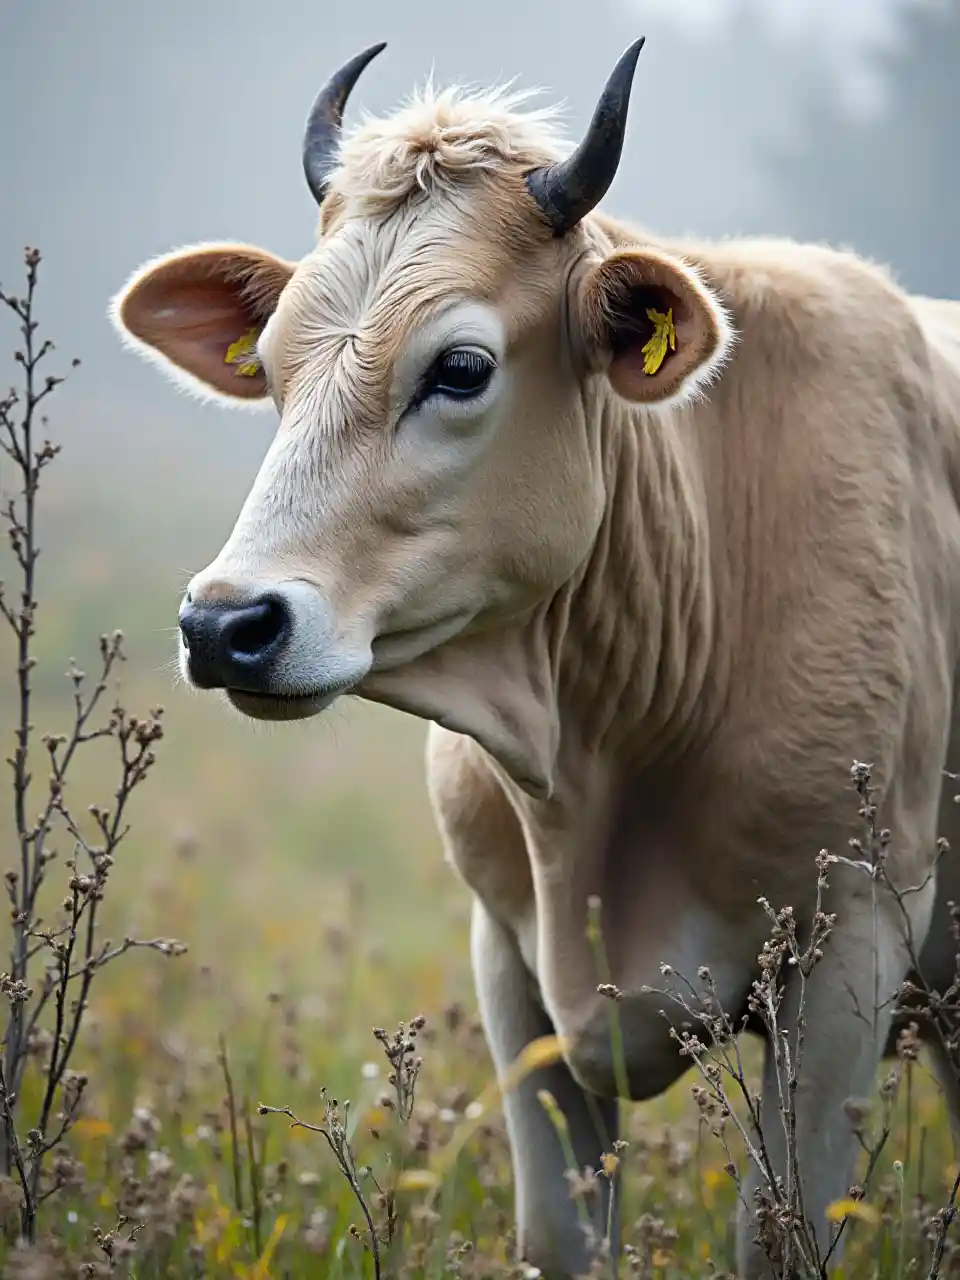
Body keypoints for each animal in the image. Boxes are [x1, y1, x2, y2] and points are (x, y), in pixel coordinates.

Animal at [109, 38, 960, 1278]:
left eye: (460, 367)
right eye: (265, 364)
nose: (227, 622)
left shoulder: (851, 943)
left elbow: (781, 1229)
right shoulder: (510, 961)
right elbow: (562, 1233)